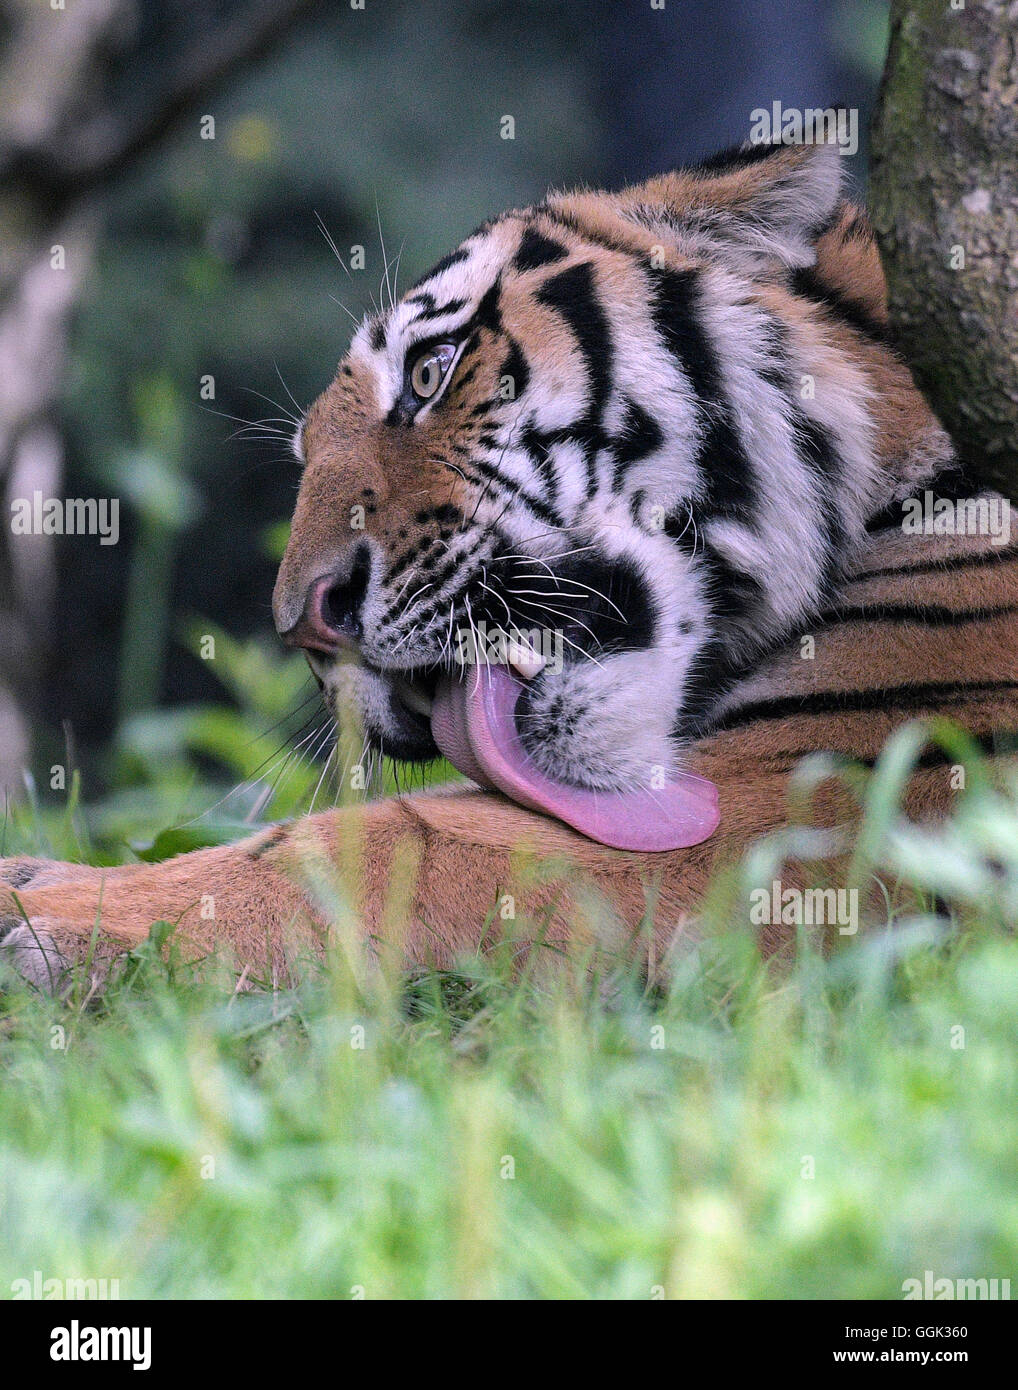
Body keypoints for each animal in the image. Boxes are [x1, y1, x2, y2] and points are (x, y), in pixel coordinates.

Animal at [3, 140, 1016, 991]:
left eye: (431, 371)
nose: (303, 624)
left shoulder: (816, 798)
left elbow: (387, 840)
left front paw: (57, 923)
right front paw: (35, 873)